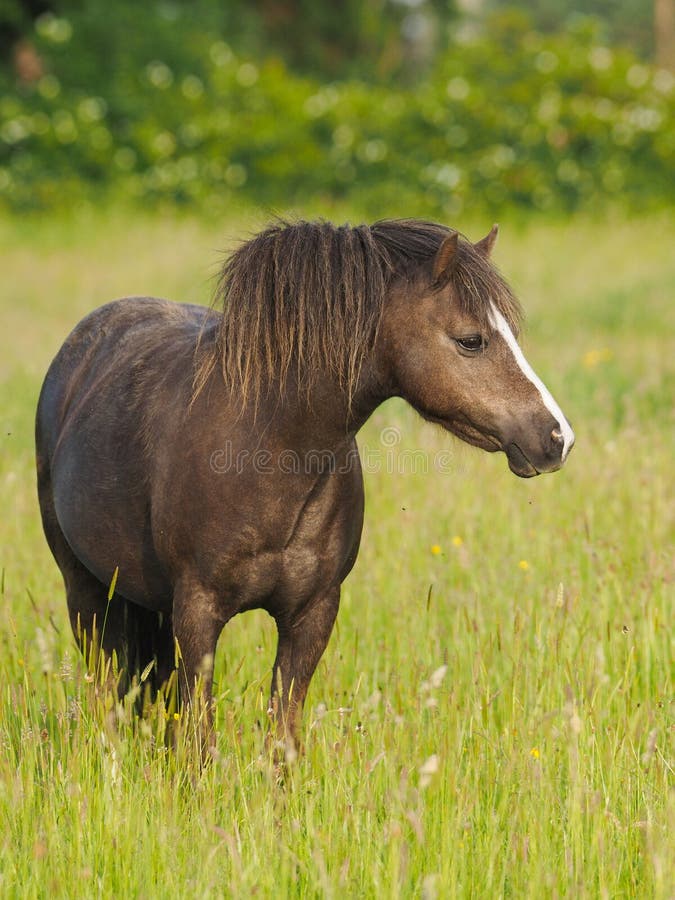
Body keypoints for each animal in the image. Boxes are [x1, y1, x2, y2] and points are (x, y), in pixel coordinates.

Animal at [35, 219, 574, 754]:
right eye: (471, 340)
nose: (557, 437)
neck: (269, 450)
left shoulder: (312, 613)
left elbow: (282, 737)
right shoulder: (197, 612)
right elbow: (200, 737)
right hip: (86, 591)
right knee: (105, 689)